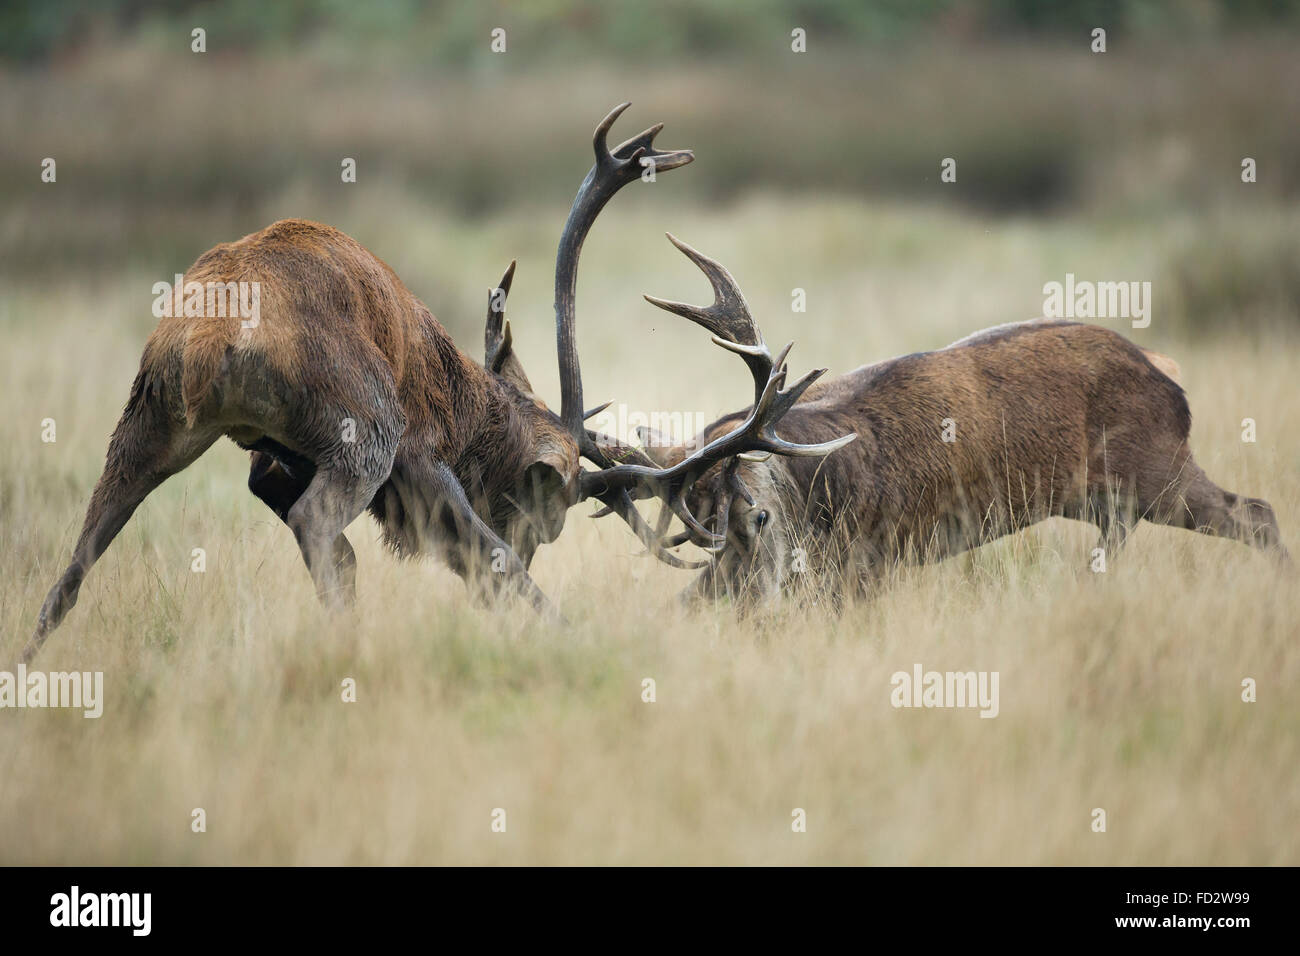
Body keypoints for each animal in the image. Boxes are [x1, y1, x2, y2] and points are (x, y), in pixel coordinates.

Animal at [24, 104, 851, 662]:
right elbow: (484, 558)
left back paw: (30, 666)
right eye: (538, 514)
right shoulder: (420, 460)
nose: (532, 546)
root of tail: (204, 341)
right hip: (363, 425)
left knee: (75, 562)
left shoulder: (270, 460)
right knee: (318, 521)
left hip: (148, 418)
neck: (466, 413)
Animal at [620, 239, 1292, 606]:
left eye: (757, 512)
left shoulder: (872, 557)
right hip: (1100, 497)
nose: (742, 599)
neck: (821, 485)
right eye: (695, 529)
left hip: (1157, 466)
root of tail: (1167, 372)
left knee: (1258, 513)